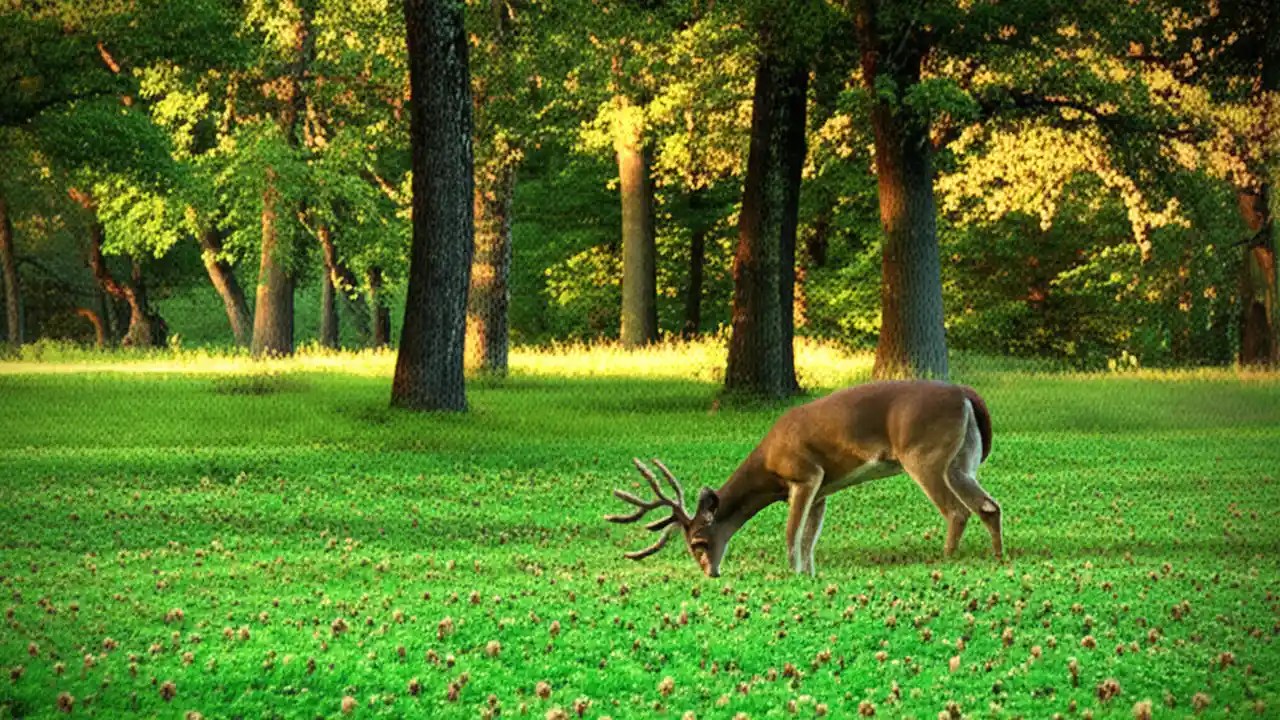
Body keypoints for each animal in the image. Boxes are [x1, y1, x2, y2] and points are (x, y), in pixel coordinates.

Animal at [606, 380, 1001, 577]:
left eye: (699, 540)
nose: (710, 573)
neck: (768, 466)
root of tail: (967, 395)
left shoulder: (805, 474)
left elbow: (792, 533)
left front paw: (793, 573)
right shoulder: (824, 489)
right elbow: (810, 537)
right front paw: (809, 574)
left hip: (923, 453)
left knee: (957, 510)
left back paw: (946, 559)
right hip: (962, 459)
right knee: (988, 505)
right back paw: (997, 556)